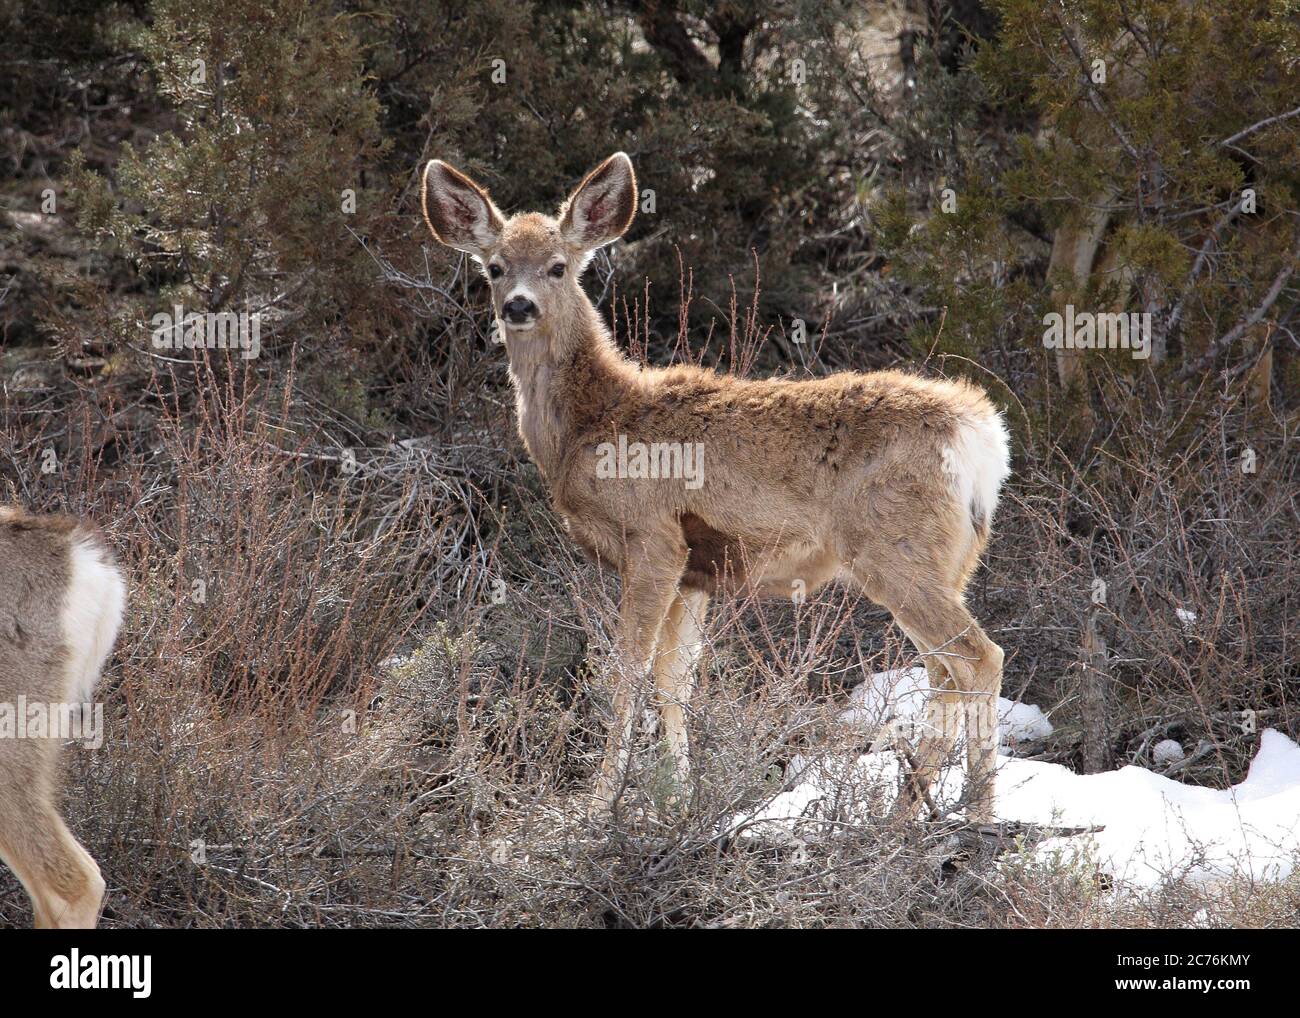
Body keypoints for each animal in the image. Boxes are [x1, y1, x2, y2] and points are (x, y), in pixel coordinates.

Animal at [421, 152, 1011, 821]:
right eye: (494, 267)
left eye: (557, 266)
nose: (518, 306)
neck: (594, 424)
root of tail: (982, 437)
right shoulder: (694, 570)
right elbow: (674, 679)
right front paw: (676, 796)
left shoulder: (653, 537)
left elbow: (628, 670)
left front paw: (599, 802)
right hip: (951, 558)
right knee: (944, 673)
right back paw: (908, 815)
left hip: (896, 548)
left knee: (977, 658)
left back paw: (974, 816)